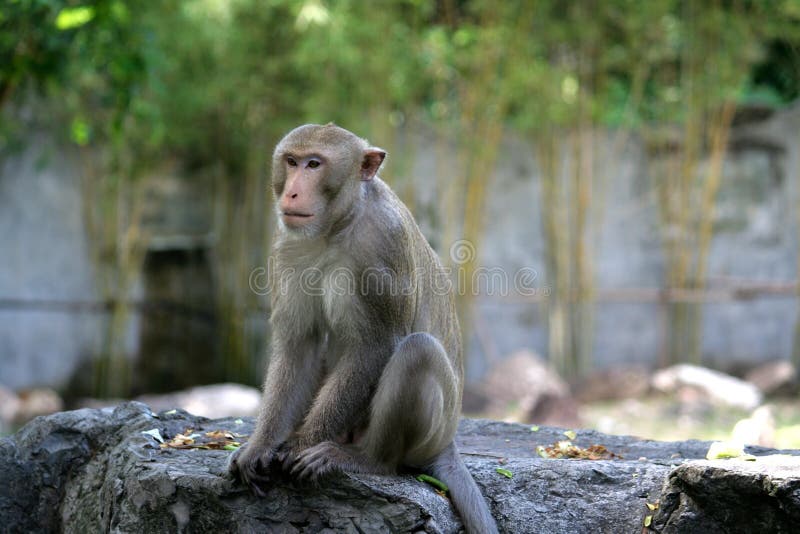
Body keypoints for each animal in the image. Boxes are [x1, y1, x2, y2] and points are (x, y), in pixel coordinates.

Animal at [228, 123, 498, 534]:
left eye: (314, 164)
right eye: (291, 161)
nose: (292, 191)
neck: (337, 227)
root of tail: (448, 441)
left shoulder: (384, 243)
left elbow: (376, 345)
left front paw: (300, 444)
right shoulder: (286, 244)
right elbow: (299, 346)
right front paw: (262, 445)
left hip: (428, 433)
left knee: (417, 351)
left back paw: (367, 460)